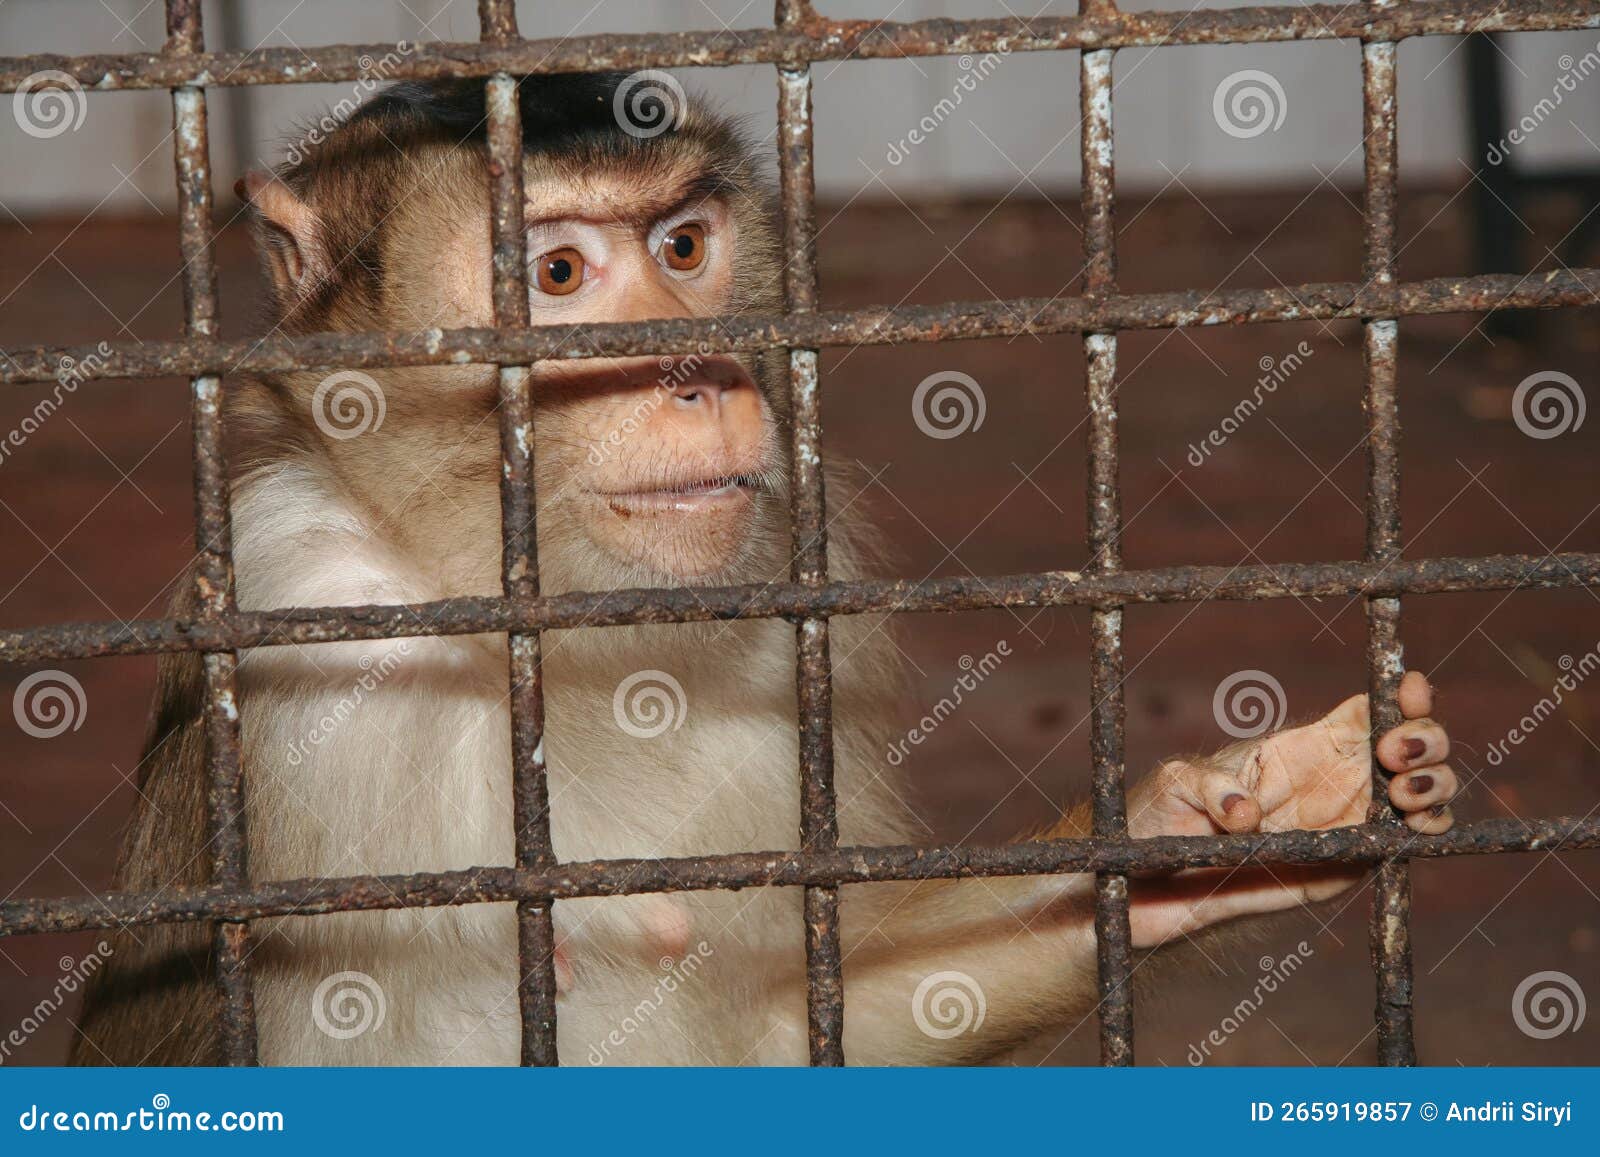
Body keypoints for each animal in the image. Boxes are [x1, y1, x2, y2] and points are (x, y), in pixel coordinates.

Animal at [70, 73, 1458, 1066]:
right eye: (558, 273)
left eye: (685, 247)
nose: (700, 371)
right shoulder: (306, 625)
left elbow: (800, 1008)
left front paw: (1210, 835)